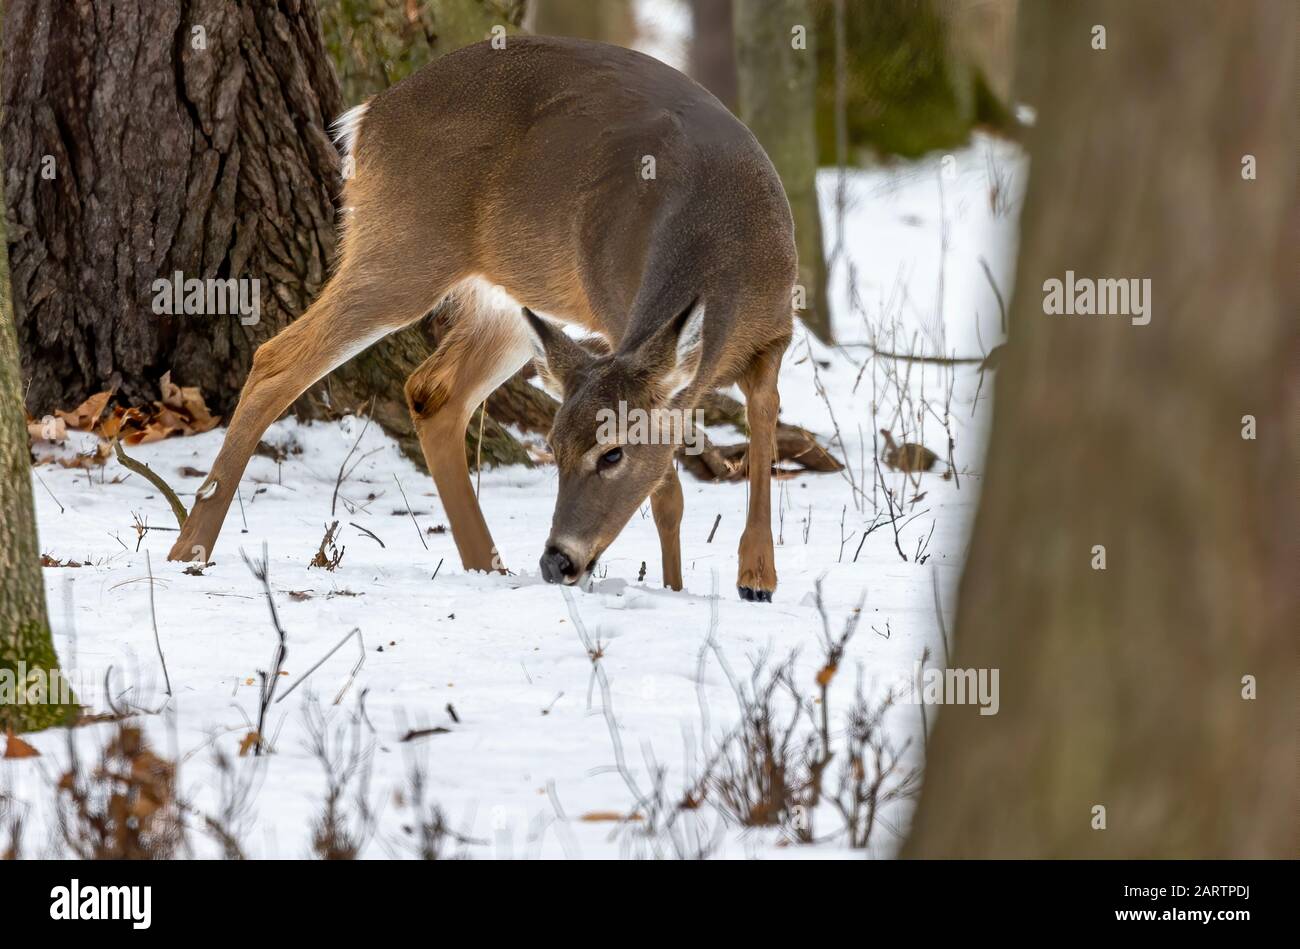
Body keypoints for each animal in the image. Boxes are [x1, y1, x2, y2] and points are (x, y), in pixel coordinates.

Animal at [167, 36, 796, 602]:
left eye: (613, 452)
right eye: (552, 447)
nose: (557, 561)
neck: (724, 241)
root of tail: (367, 118)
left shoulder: (775, 335)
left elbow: (762, 430)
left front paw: (755, 577)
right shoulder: (620, 320)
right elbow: (670, 494)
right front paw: (683, 588)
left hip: (507, 298)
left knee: (432, 391)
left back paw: (487, 567)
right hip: (404, 247)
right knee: (279, 357)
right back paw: (190, 548)